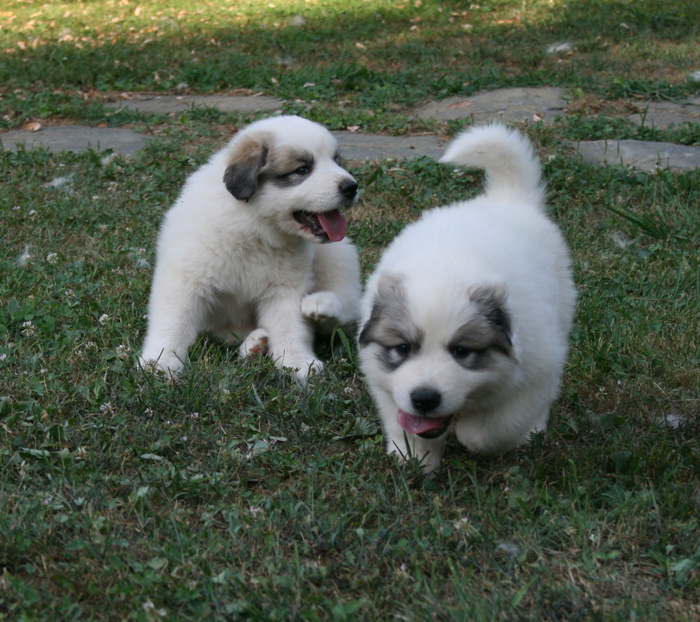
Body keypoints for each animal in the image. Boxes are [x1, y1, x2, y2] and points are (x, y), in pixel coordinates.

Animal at [140, 114, 364, 382]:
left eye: (336, 160)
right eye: (302, 169)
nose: (351, 187)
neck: (255, 225)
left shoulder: (285, 287)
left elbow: (290, 326)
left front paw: (297, 362)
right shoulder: (186, 278)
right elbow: (173, 321)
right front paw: (160, 362)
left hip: (336, 253)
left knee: (347, 306)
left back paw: (322, 305)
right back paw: (255, 345)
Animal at [358, 124, 576, 472]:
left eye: (462, 351)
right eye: (403, 348)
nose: (424, 399)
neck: (445, 266)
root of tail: (505, 199)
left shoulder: (538, 366)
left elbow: (497, 425)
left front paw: (471, 434)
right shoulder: (384, 379)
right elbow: (402, 419)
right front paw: (415, 458)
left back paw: (533, 431)